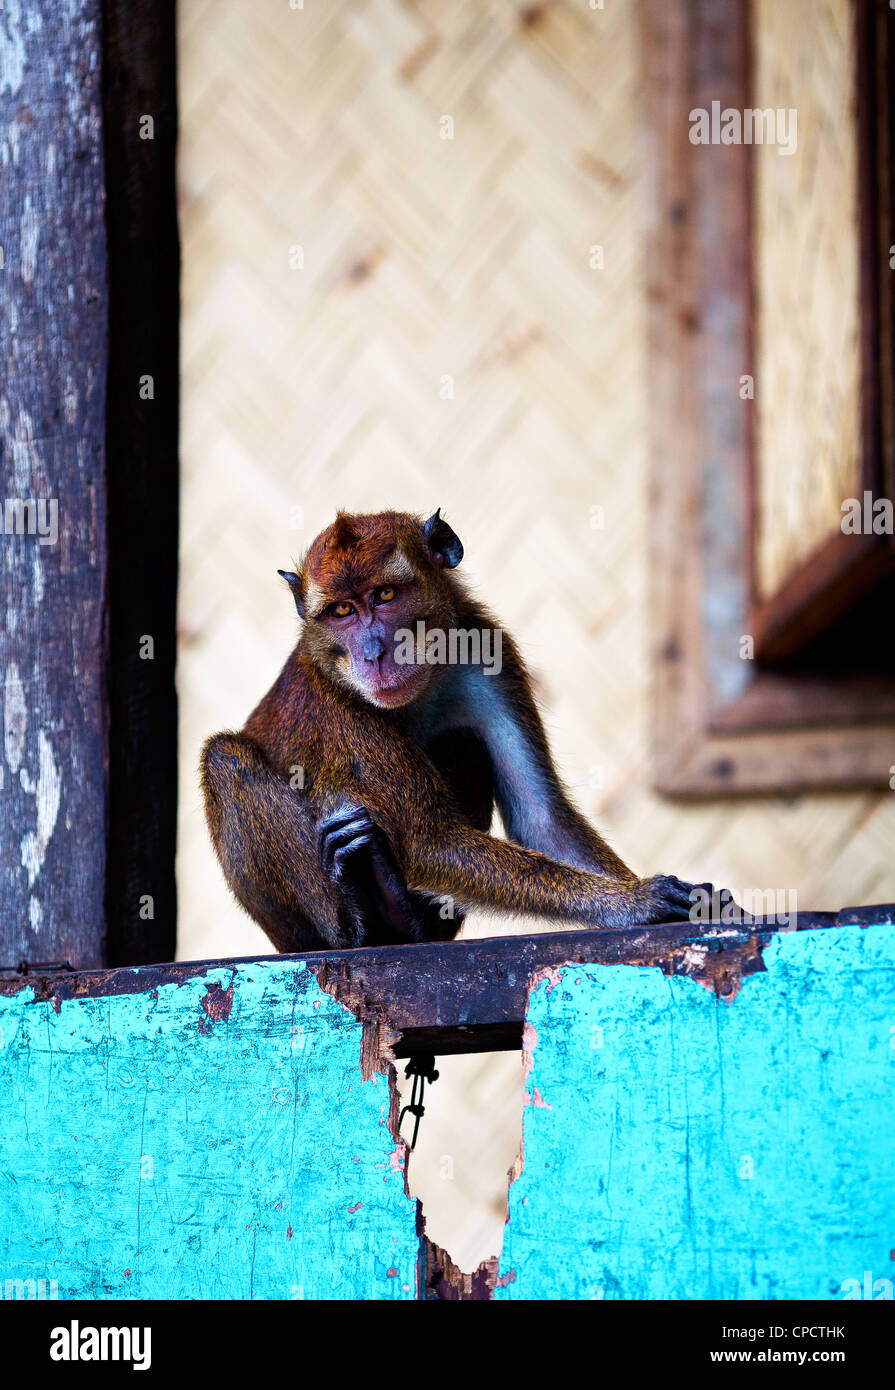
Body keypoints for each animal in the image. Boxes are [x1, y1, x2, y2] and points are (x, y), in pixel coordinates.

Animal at [201, 509, 724, 953]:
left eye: (384, 595)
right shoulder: (339, 704)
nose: (373, 653)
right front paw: (636, 902)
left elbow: (542, 819)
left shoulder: (489, 655)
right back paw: (363, 928)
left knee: (463, 742)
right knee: (225, 758)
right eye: (342, 611)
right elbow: (430, 841)